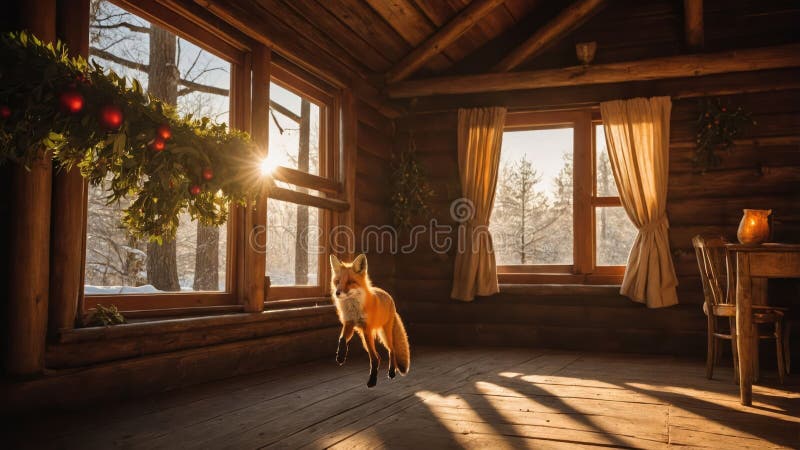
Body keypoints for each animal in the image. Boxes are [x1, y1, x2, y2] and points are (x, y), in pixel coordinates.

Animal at [330, 253, 410, 388]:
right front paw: (341, 355)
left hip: (383, 334)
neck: (354, 309)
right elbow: (342, 339)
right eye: (337, 282)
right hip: (364, 338)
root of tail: (388, 295)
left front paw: (372, 380)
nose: (337, 293)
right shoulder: (349, 323)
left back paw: (391, 372)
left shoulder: (367, 328)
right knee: (378, 356)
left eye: (350, 282)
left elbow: (373, 359)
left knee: (389, 351)